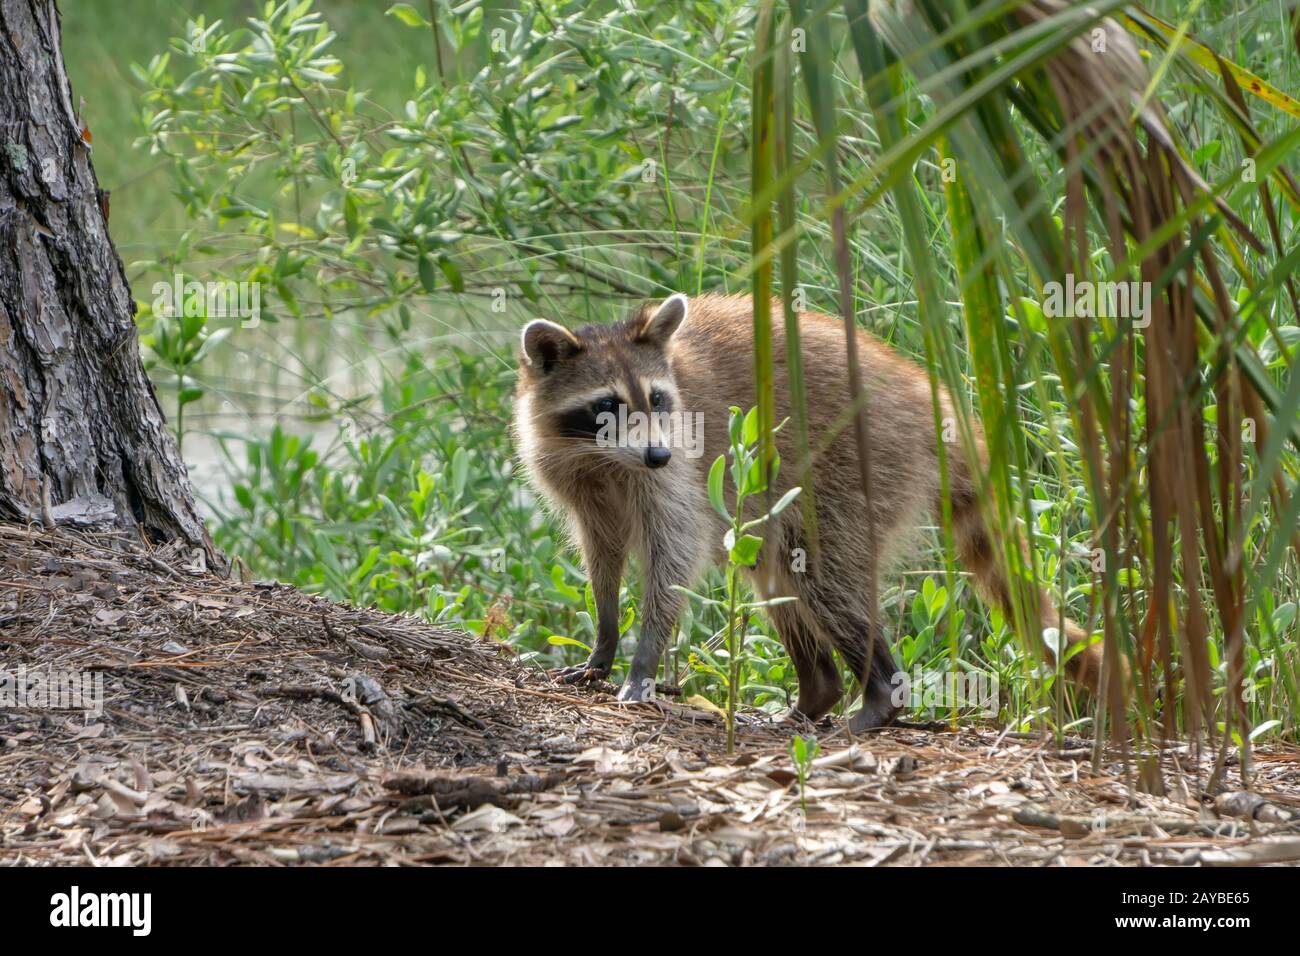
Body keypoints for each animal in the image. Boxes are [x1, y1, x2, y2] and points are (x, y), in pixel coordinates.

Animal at [513, 293, 1106, 730]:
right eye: (607, 405)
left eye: (656, 399)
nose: (656, 455)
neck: (604, 459)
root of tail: (926, 397)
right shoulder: (579, 480)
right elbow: (603, 555)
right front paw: (606, 636)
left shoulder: (680, 467)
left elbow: (674, 558)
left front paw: (645, 656)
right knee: (778, 572)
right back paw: (817, 691)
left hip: (859, 466)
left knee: (826, 578)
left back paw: (881, 695)